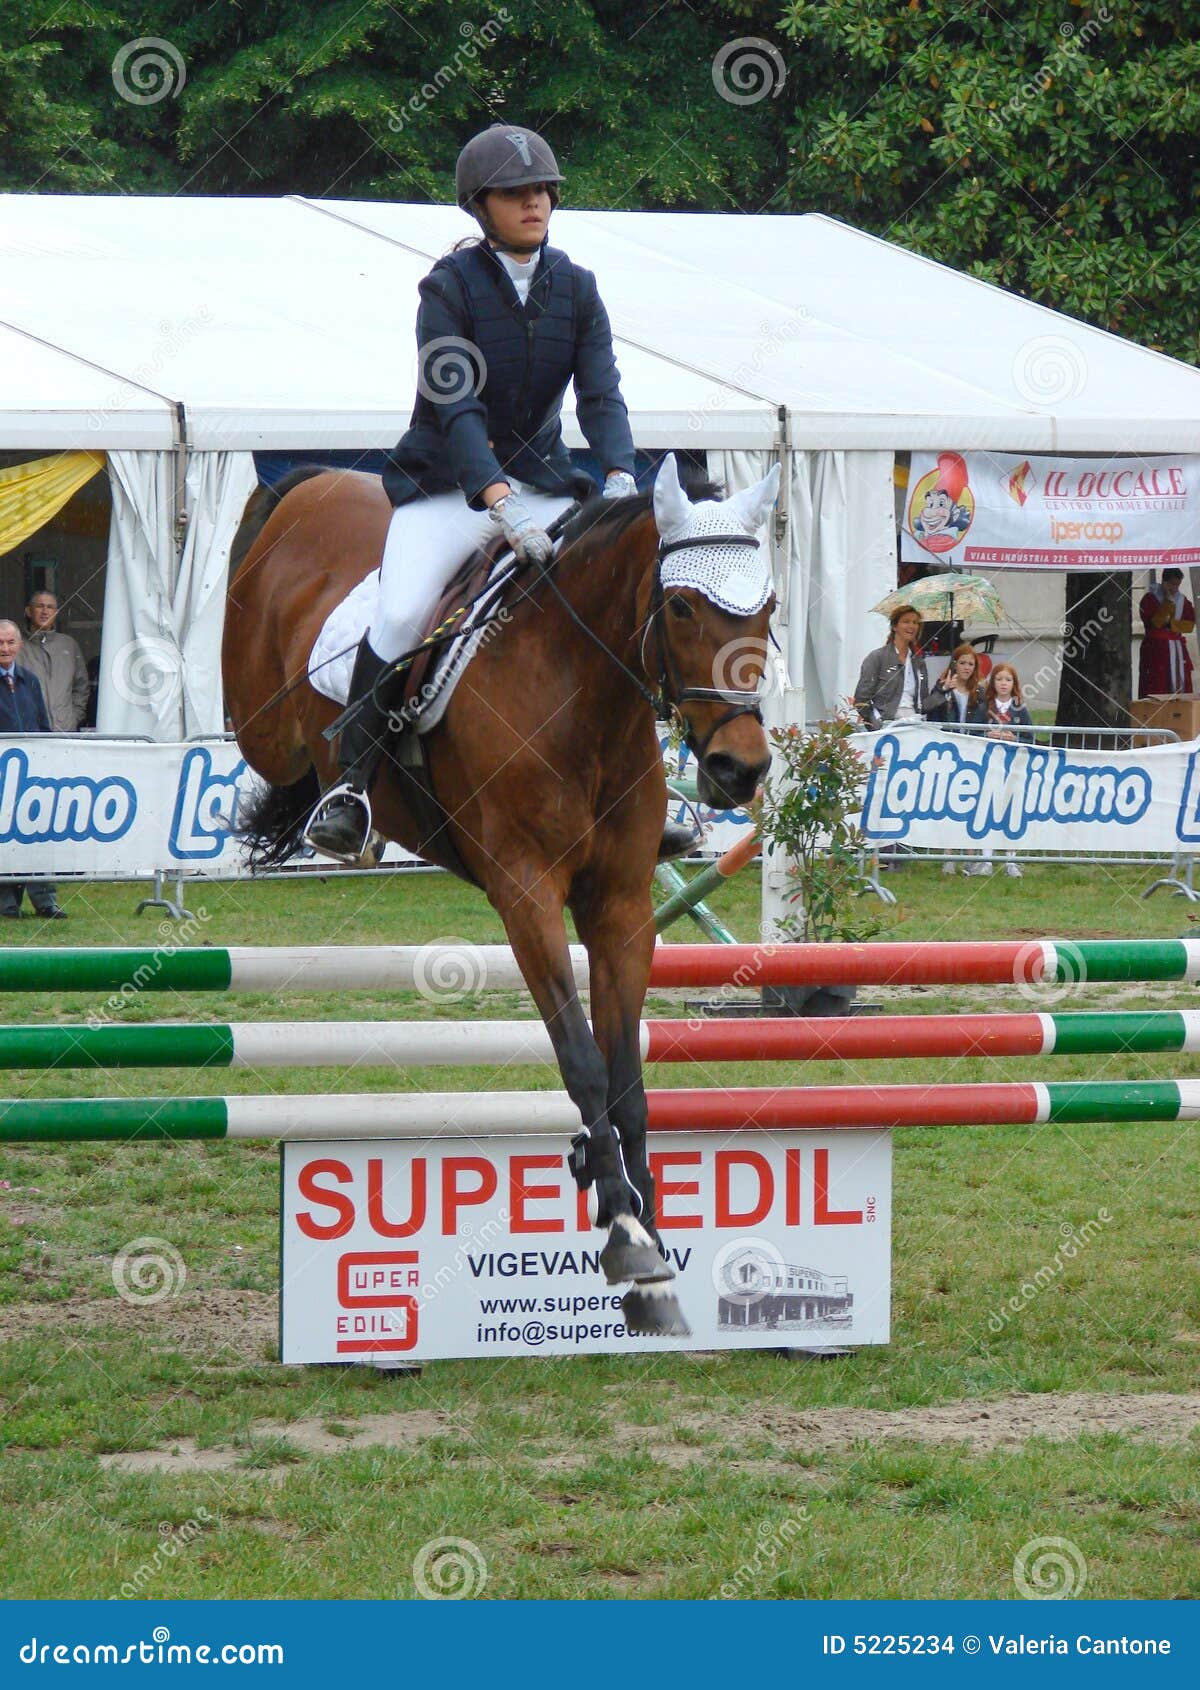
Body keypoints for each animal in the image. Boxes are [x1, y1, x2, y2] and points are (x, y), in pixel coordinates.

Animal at [221, 453, 778, 1336]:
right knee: (280, 747)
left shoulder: (622, 905)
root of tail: (323, 481)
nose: (739, 769)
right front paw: (623, 1228)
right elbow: (583, 1060)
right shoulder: (525, 896)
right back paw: (339, 807)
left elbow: (627, 1076)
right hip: (259, 717)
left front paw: (646, 1230)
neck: (585, 692)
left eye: (769, 609)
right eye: (682, 606)